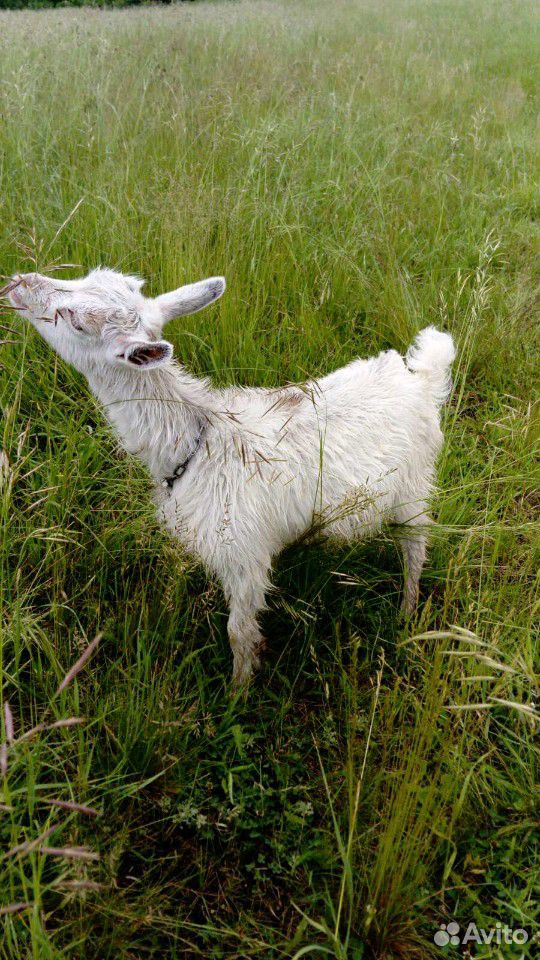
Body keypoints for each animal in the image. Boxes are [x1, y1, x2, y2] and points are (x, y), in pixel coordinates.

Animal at [6, 268, 455, 685]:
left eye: (76, 322)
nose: (19, 281)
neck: (196, 439)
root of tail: (419, 380)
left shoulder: (243, 557)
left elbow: (238, 631)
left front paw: (238, 691)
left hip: (413, 488)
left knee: (415, 548)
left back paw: (407, 611)